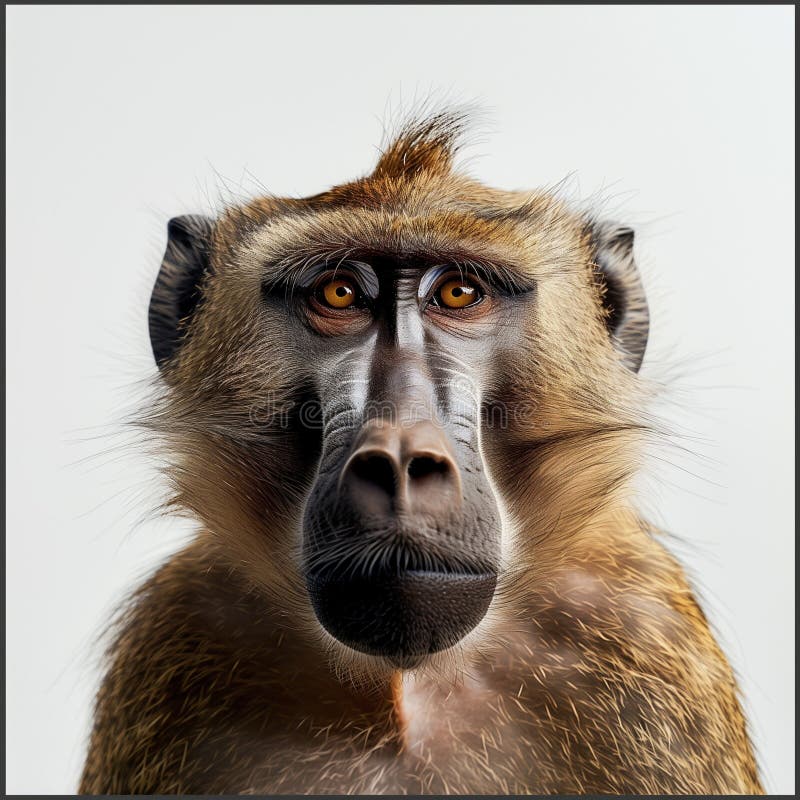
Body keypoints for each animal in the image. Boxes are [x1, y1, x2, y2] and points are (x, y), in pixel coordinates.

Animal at [79, 110, 762, 795]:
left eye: (459, 293)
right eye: (339, 294)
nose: (400, 460)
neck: (411, 687)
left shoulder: (639, 634)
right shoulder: (182, 625)